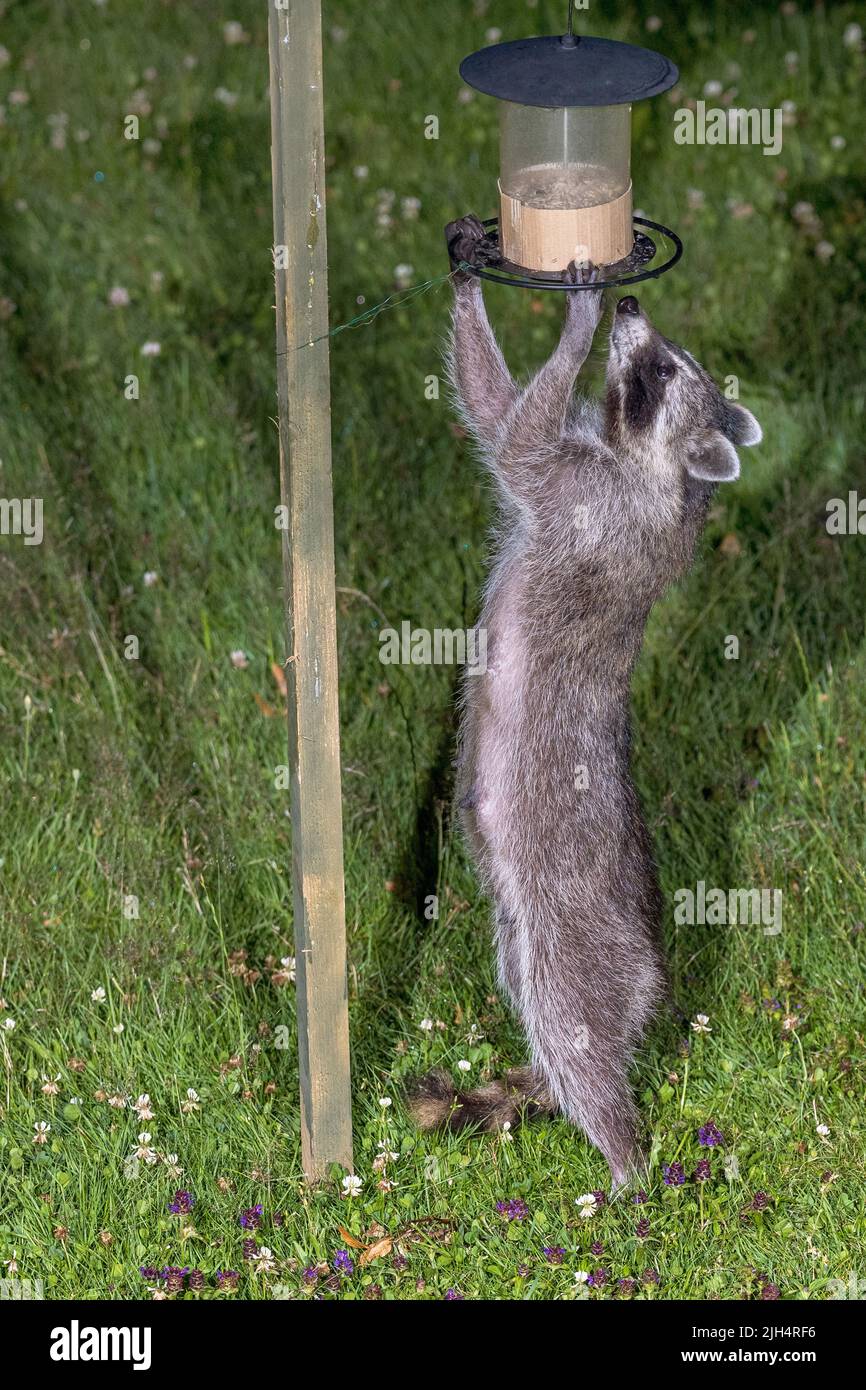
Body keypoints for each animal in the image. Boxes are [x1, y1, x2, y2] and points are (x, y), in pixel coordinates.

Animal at [408, 215, 762, 1187]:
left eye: (664, 372)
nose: (633, 304)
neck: (668, 483)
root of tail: (648, 984)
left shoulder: (584, 499)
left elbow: (515, 438)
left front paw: (576, 323)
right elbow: (495, 410)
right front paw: (470, 273)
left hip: (578, 938)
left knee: (577, 1035)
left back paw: (625, 1161)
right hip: (521, 934)